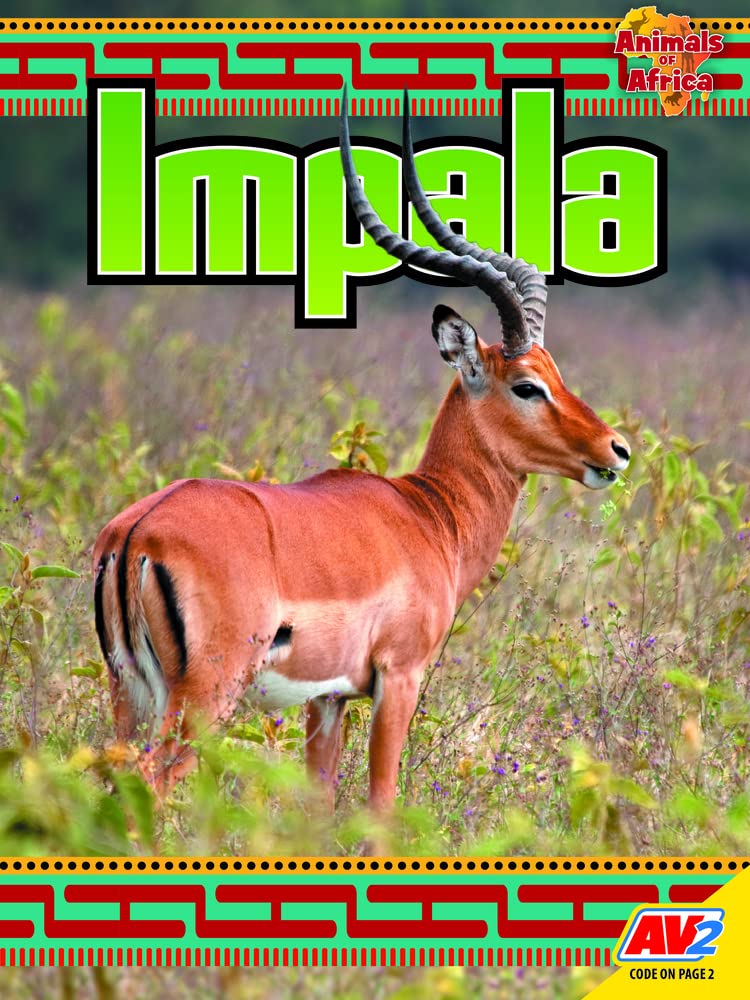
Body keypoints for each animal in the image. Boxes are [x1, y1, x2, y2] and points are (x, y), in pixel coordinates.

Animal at [92, 101, 630, 811]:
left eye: (556, 372)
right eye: (526, 385)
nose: (616, 449)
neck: (428, 517)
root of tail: (136, 532)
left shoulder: (328, 698)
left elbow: (319, 807)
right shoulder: (397, 679)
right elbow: (379, 805)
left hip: (129, 693)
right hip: (204, 696)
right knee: (151, 785)